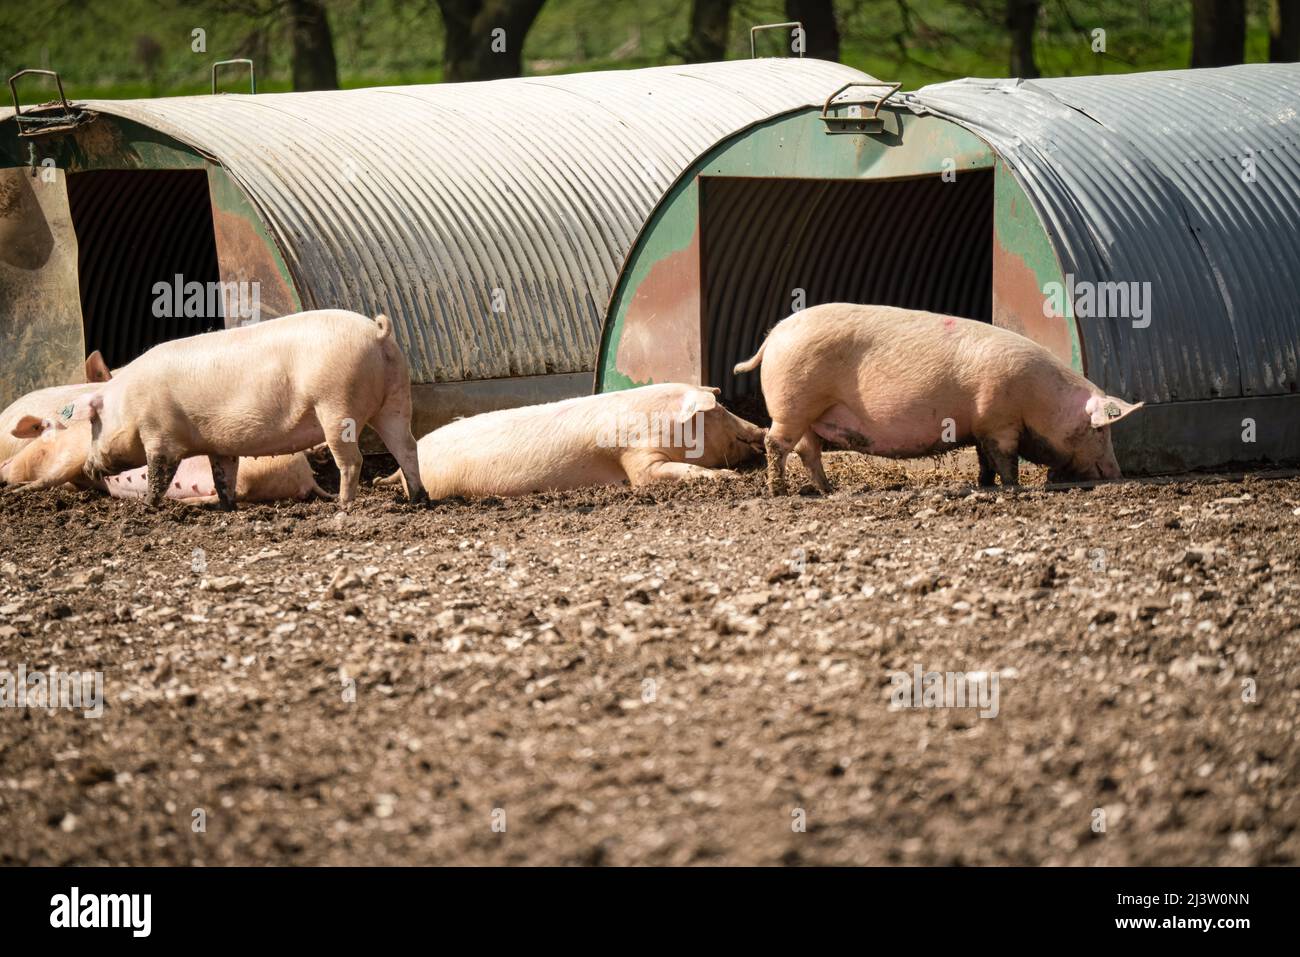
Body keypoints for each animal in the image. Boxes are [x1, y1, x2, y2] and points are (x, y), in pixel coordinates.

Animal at [60, 310, 426, 510]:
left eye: (93, 422)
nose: (88, 466)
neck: (129, 404)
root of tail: (377, 332)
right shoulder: (219, 447)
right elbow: (223, 476)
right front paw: (226, 507)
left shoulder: (160, 436)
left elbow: (158, 474)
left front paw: (148, 507)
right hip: (396, 397)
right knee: (407, 447)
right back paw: (418, 499)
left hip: (337, 404)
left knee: (352, 461)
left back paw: (343, 505)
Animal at [733, 303, 1143, 495]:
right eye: (1099, 431)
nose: (1117, 474)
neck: (1040, 399)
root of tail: (774, 335)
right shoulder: (1000, 420)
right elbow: (1005, 458)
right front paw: (1012, 487)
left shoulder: (981, 426)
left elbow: (984, 459)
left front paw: (986, 485)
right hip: (793, 402)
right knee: (776, 444)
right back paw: (780, 492)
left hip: (808, 414)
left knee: (807, 451)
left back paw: (830, 491)